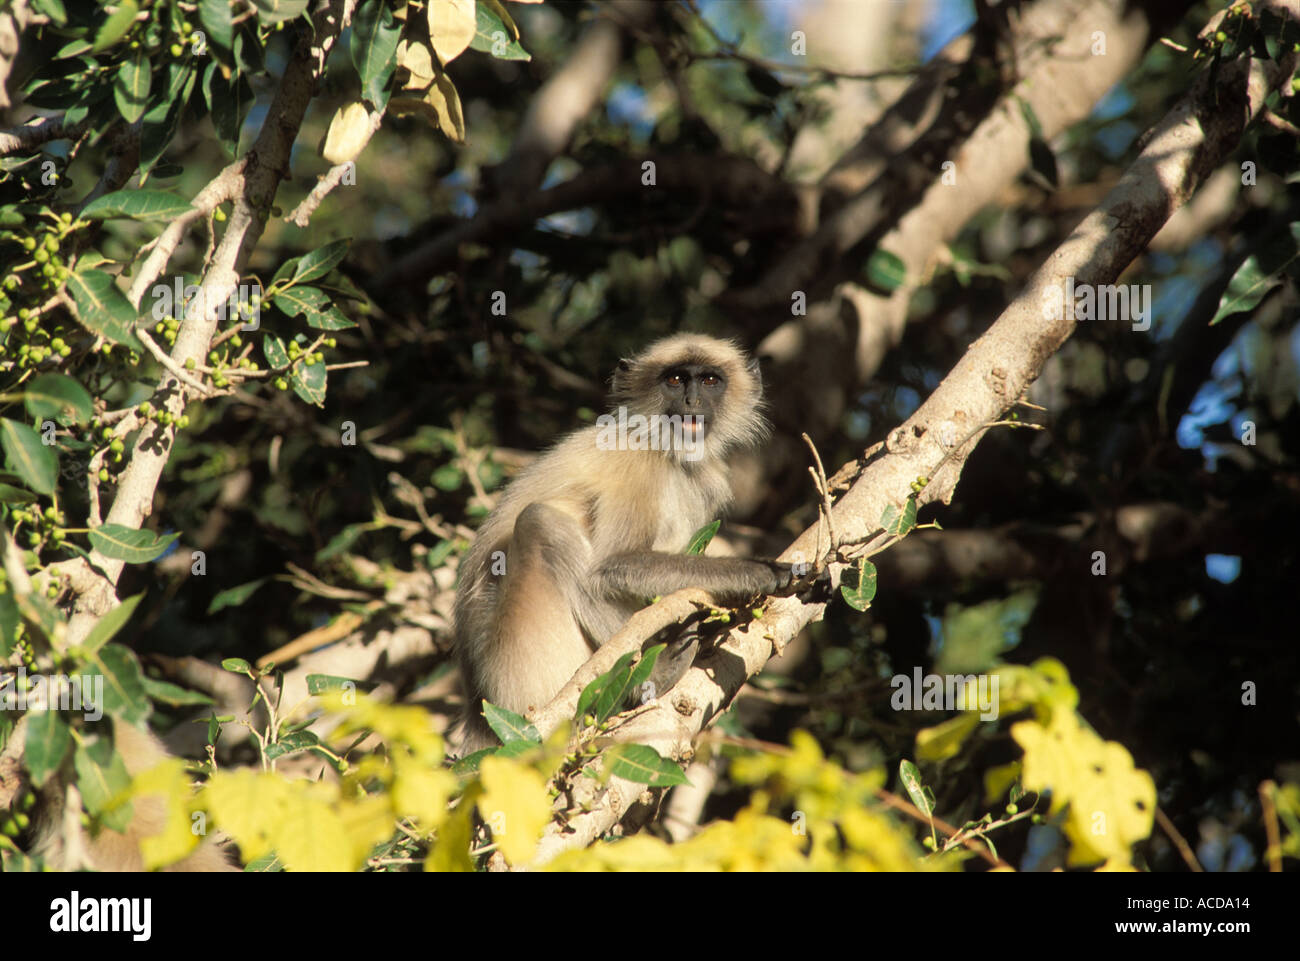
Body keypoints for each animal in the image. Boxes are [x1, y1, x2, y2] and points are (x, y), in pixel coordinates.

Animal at [453, 334, 793, 753]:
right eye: (676, 379)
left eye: (710, 380)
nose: (692, 401)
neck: (664, 449)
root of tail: (478, 721)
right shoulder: (637, 466)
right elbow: (611, 566)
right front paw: (754, 572)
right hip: (521, 678)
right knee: (542, 524)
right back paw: (651, 676)